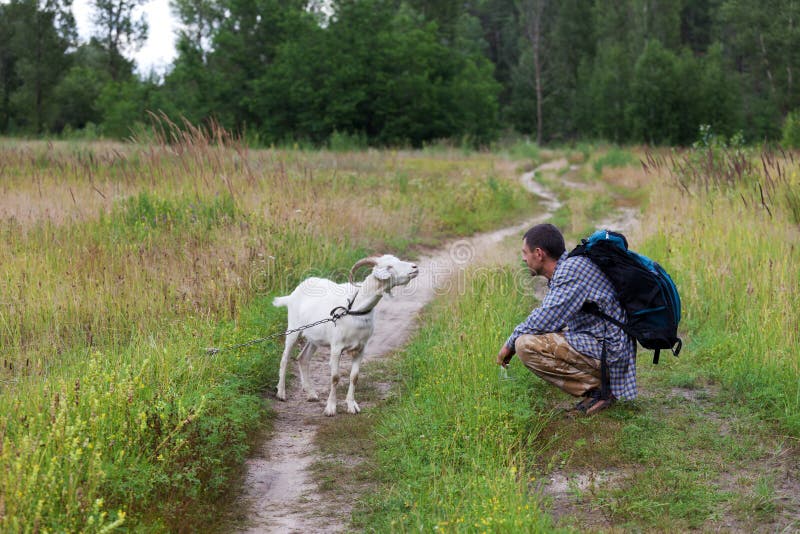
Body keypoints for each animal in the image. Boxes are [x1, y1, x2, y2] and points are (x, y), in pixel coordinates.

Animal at [273, 255, 419, 416]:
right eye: (389, 267)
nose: (414, 267)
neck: (354, 308)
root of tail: (293, 294)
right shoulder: (336, 347)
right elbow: (335, 378)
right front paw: (330, 408)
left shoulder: (361, 348)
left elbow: (354, 377)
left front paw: (352, 406)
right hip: (293, 329)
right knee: (285, 358)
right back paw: (281, 393)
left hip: (314, 338)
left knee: (303, 358)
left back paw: (311, 394)